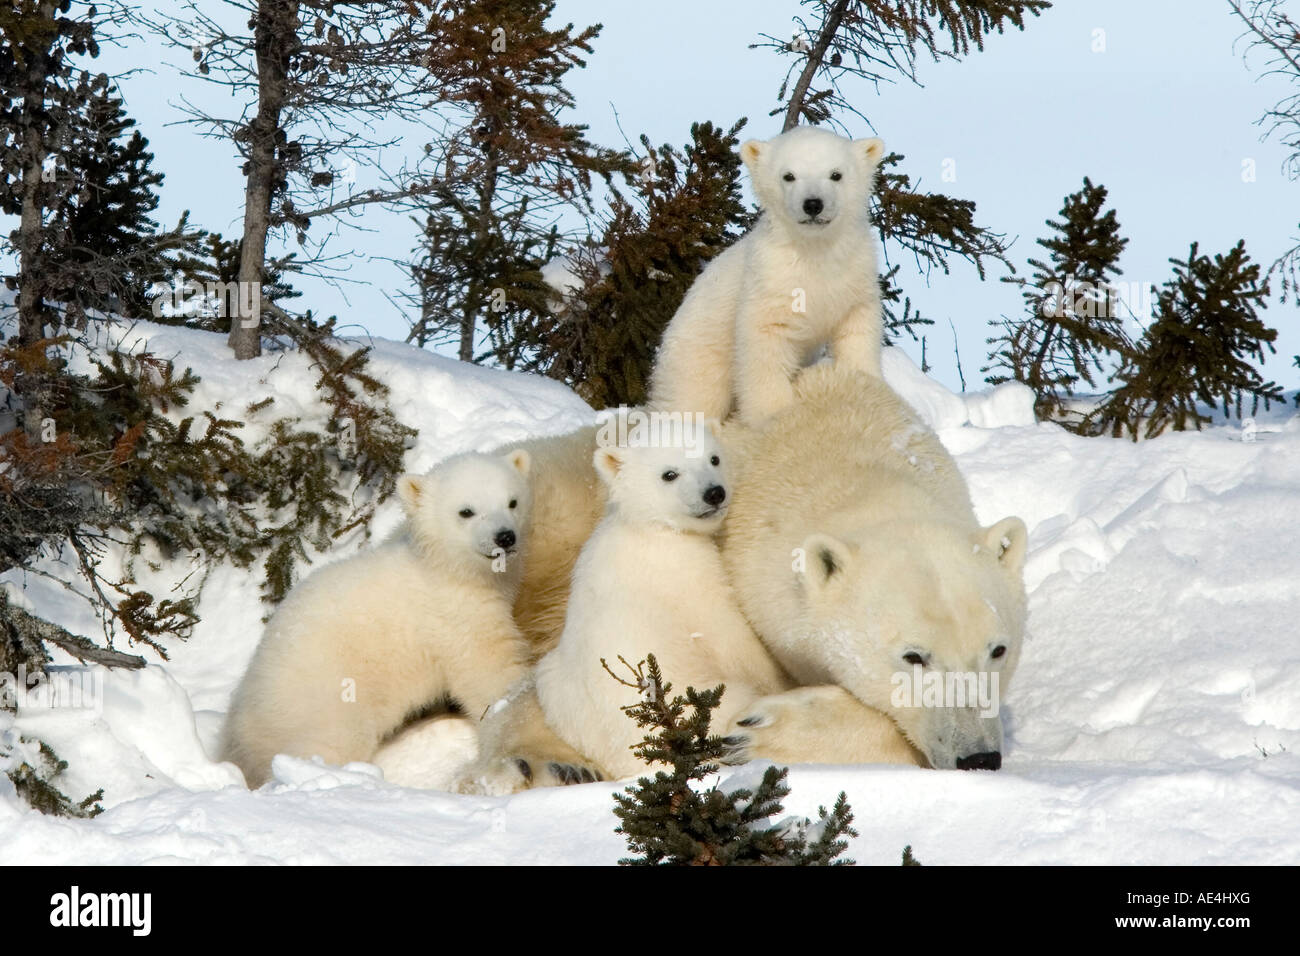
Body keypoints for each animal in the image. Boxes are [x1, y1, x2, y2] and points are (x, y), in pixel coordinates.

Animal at [220, 449, 550, 788]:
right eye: (466, 511)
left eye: (512, 502)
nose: (505, 537)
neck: (445, 570)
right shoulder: (455, 616)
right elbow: (489, 673)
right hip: (324, 697)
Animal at [532, 417, 791, 780]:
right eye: (669, 474)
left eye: (714, 458)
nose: (714, 493)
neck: (652, 528)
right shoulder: (686, 577)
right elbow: (732, 637)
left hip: (556, 689)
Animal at [649, 125, 887, 425]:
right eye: (788, 175)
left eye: (836, 174)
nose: (813, 204)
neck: (813, 250)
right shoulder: (771, 281)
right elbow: (765, 344)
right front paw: (773, 414)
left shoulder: (855, 275)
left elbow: (857, 331)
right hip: (696, 357)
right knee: (692, 397)